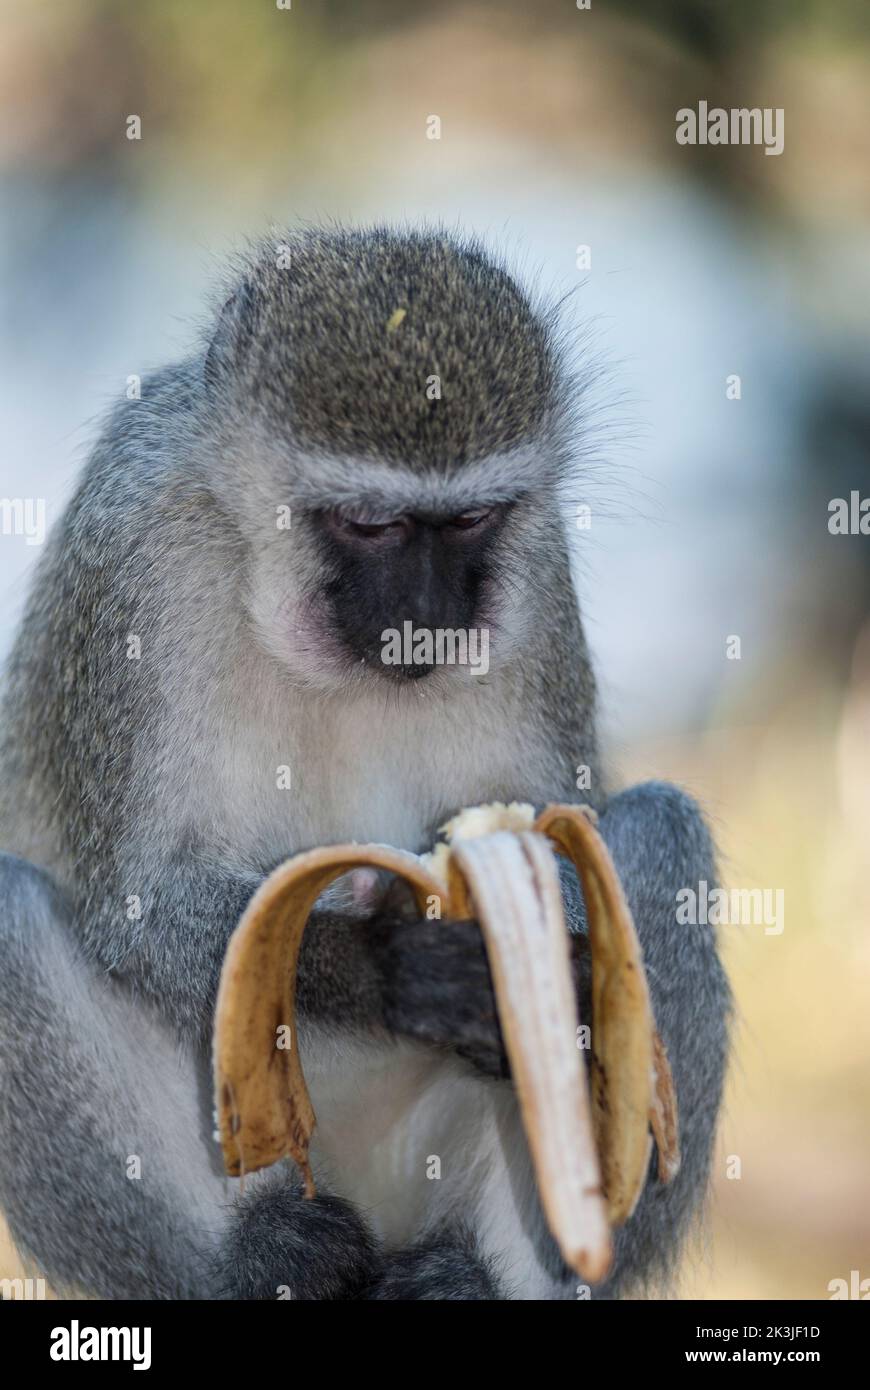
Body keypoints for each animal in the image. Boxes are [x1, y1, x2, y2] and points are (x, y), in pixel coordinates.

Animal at [0, 226, 730, 1300]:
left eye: (470, 521)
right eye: (372, 525)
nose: (428, 615)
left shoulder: (537, 572)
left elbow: (563, 826)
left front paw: (542, 951)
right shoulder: (134, 549)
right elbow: (143, 905)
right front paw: (393, 967)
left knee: (661, 831)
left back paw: (483, 1280)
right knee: (10, 916)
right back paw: (257, 1262)